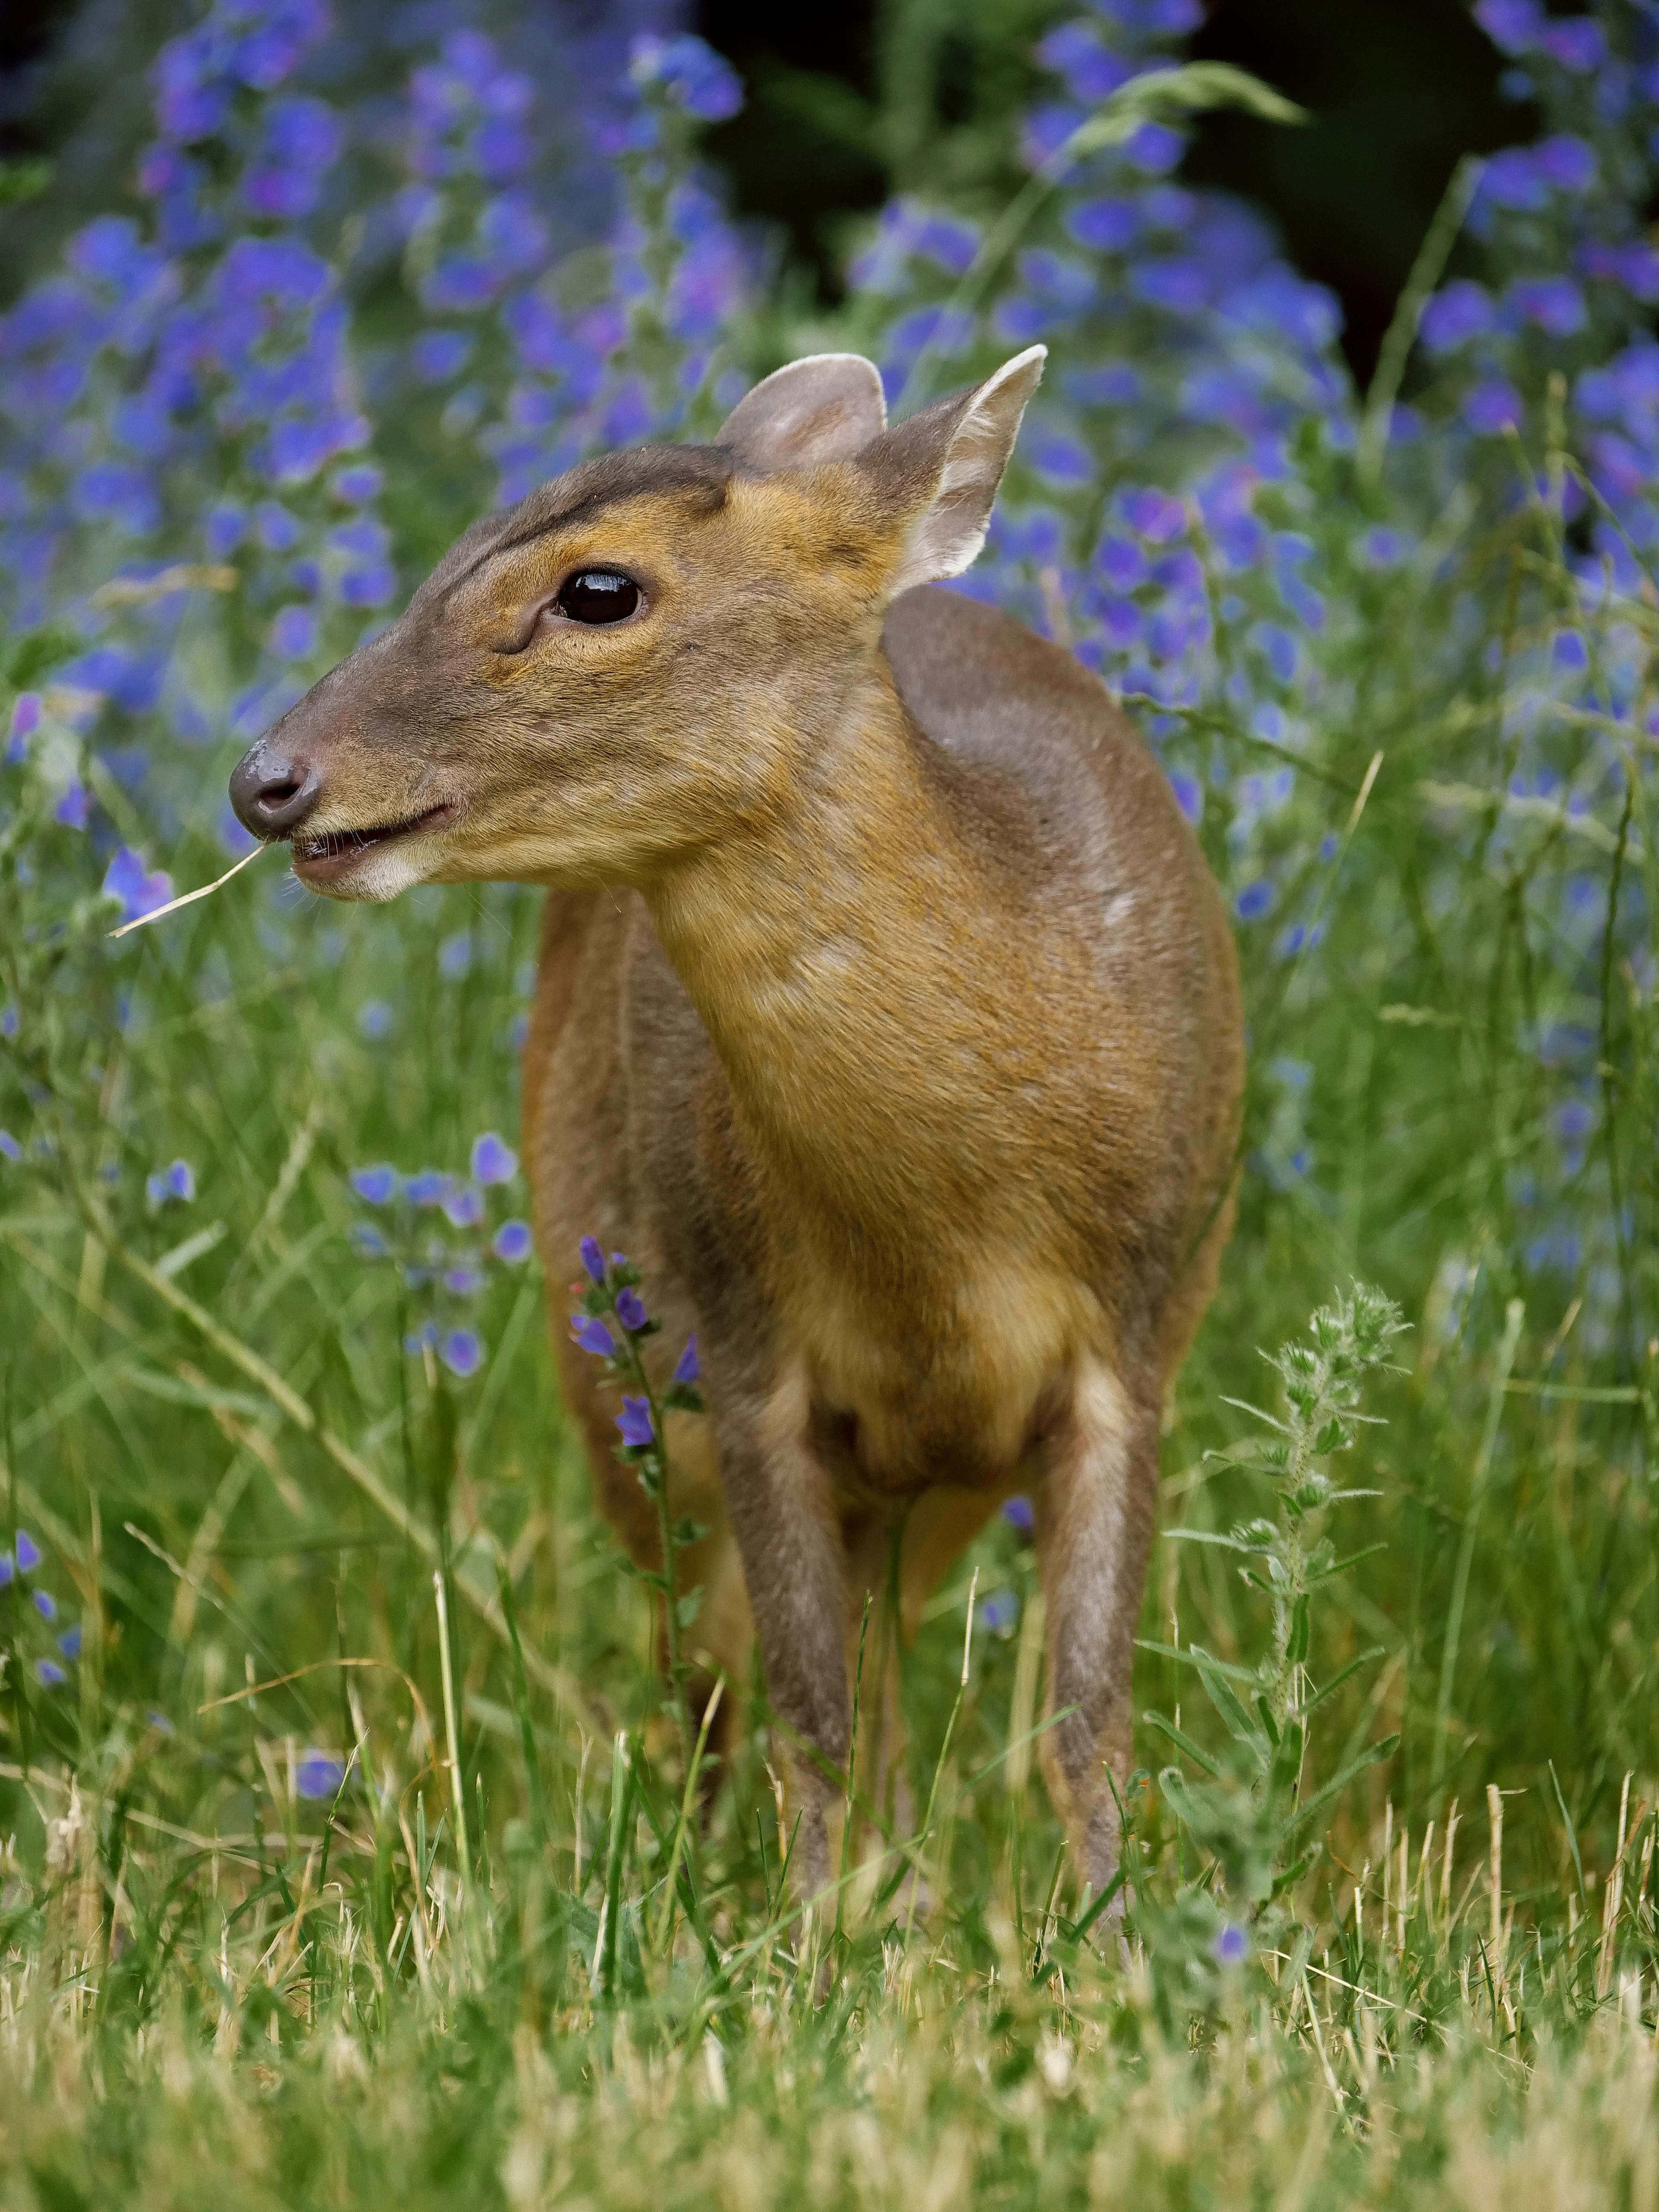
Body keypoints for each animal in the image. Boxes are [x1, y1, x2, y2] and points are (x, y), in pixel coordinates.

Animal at [229, 345, 1244, 1911]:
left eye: (597, 588)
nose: (270, 780)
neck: (950, 1236)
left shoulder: (1130, 1342)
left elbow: (1086, 1723)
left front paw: (1111, 1937)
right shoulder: (750, 1347)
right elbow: (807, 1710)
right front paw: (812, 1937)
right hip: (616, 1359)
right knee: (712, 1672)